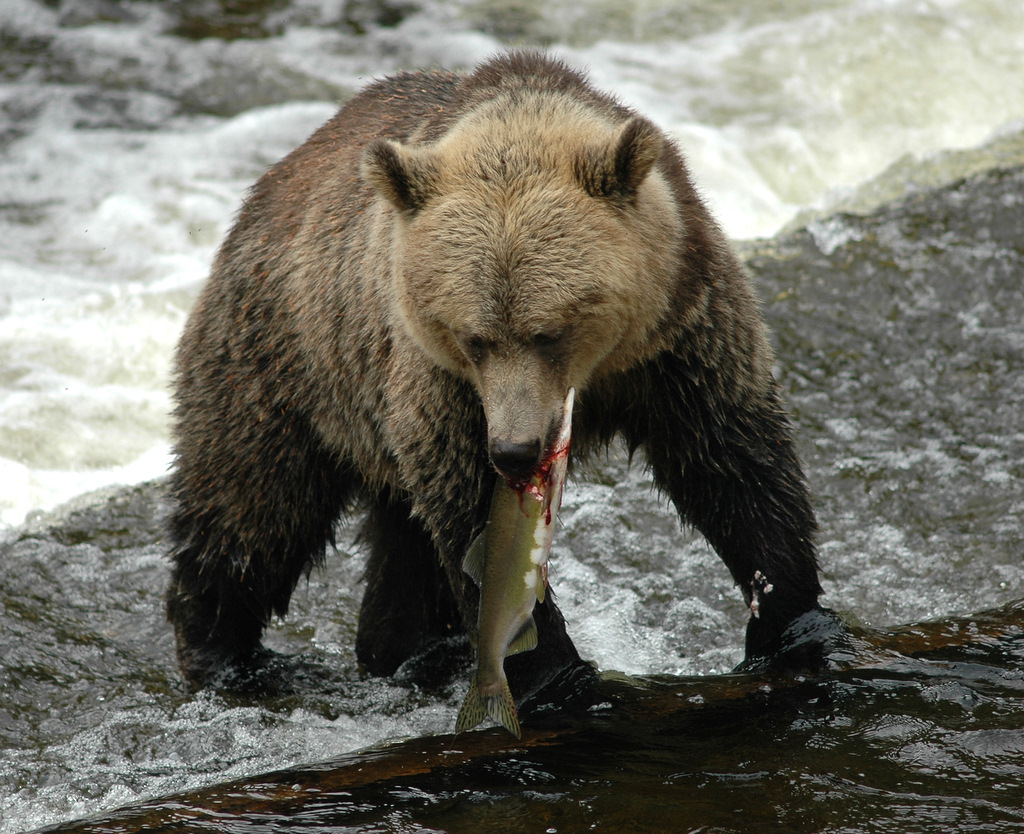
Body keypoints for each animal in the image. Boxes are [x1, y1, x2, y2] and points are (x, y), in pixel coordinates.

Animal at [166, 51, 824, 700]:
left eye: (549, 331)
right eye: (473, 338)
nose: (514, 450)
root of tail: (272, 183)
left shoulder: (679, 332)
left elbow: (731, 461)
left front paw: (792, 621)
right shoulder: (442, 383)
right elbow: (471, 518)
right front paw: (557, 672)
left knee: (398, 547)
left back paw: (408, 648)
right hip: (285, 361)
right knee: (251, 508)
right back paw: (223, 652)